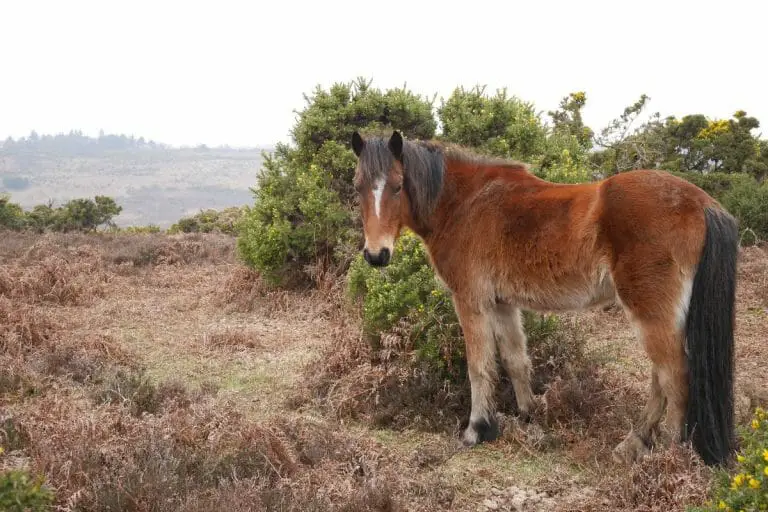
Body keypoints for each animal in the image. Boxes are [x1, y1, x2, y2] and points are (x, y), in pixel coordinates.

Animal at [350, 129, 739, 466]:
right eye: (358, 187)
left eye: (397, 186)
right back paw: (634, 443)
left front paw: (477, 430)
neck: (466, 203)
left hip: (651, 312)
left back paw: (667, 455)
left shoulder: (471, 302)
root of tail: (703, 203)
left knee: (675, 378)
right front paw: (528, 417)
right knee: (661, 379)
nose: (376, 255)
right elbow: (515, 362)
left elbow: (479, 366)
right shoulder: (503, 305)